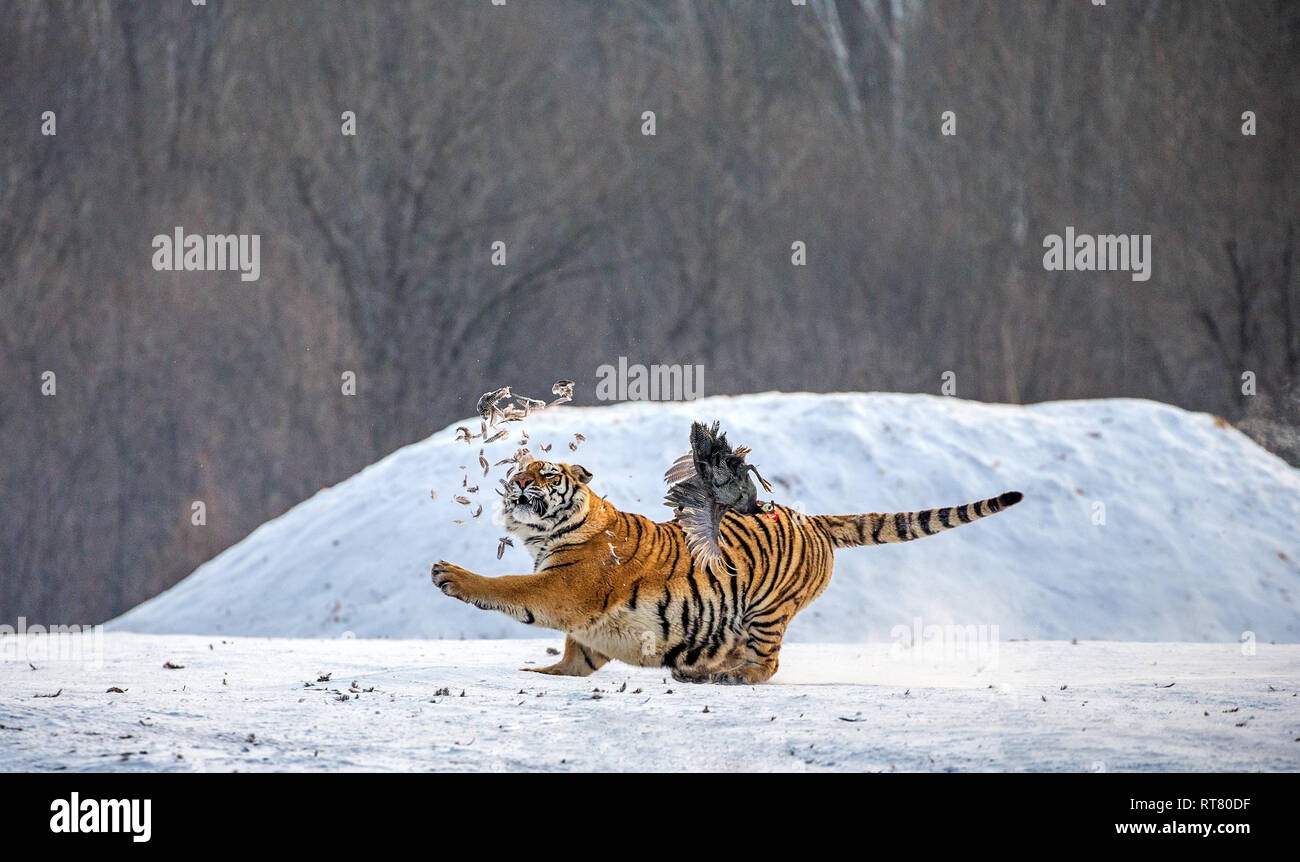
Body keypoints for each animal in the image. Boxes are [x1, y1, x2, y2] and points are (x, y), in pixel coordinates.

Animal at [431, 459, 1023, 685]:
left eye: (546, 474)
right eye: (519, 469)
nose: (517, 485)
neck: (547, 533)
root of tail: (812, 518)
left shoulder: (564, 586)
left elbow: (509, 586)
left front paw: (449, 573)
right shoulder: (588, 622)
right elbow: (578, 654)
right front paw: (549, 673)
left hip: (766, 612)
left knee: (768, 665)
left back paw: (725, 677)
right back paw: (698, 671)